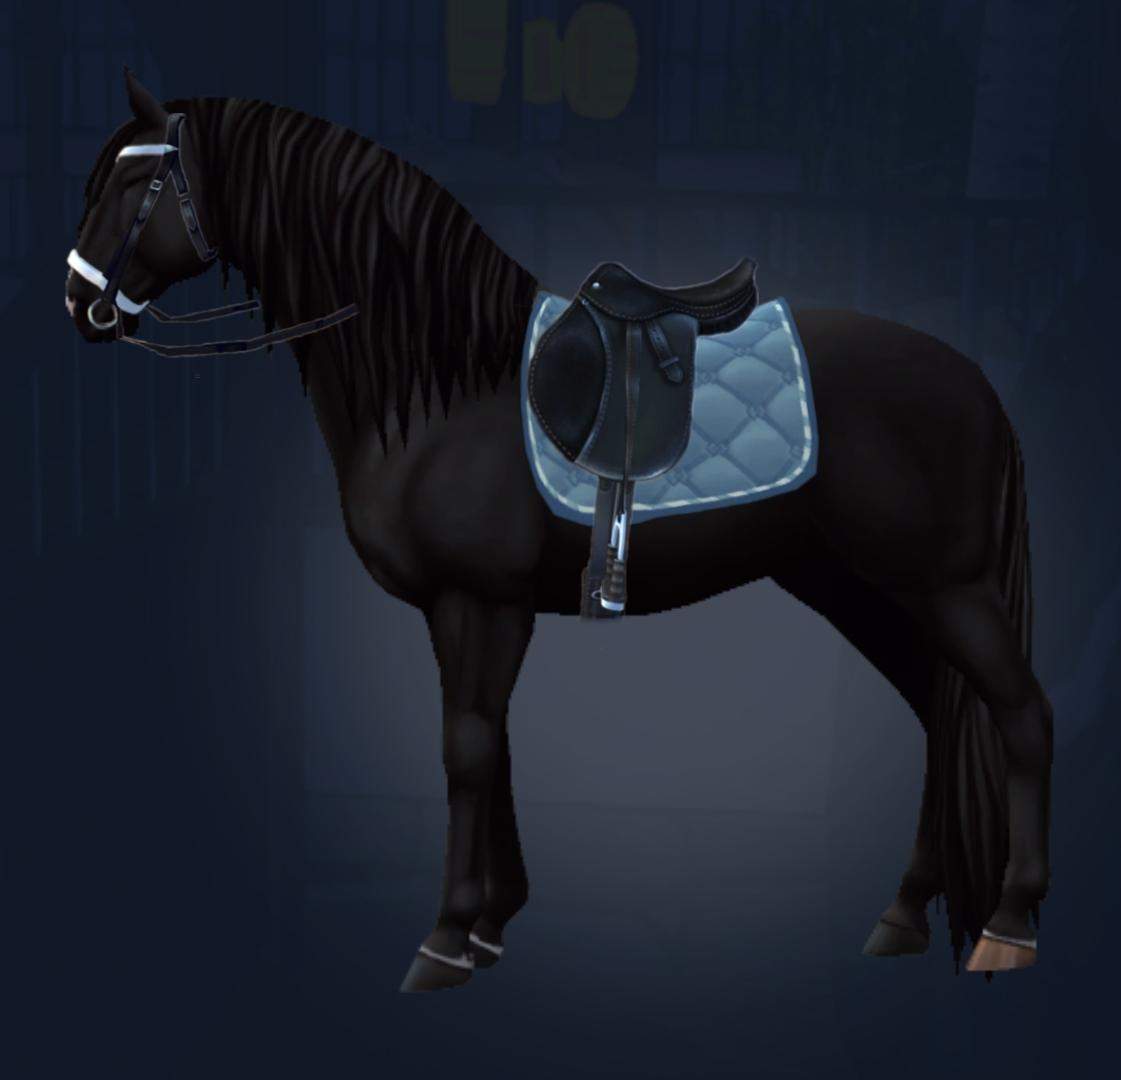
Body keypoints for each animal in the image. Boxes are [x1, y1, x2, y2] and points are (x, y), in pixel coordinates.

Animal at [64, 70, 1052, 992]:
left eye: (135, 182)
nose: (79, 302)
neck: (447, 384)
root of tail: (972, 384)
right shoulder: (472, 610)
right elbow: (487, 742)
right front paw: (492, 924)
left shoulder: (478, 601)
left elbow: (466, 748)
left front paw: (446, 940)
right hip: (862, 589)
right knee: (938, 716)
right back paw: (903, 913)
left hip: (944, 588)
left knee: (1018, 714)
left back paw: (1007, 927)